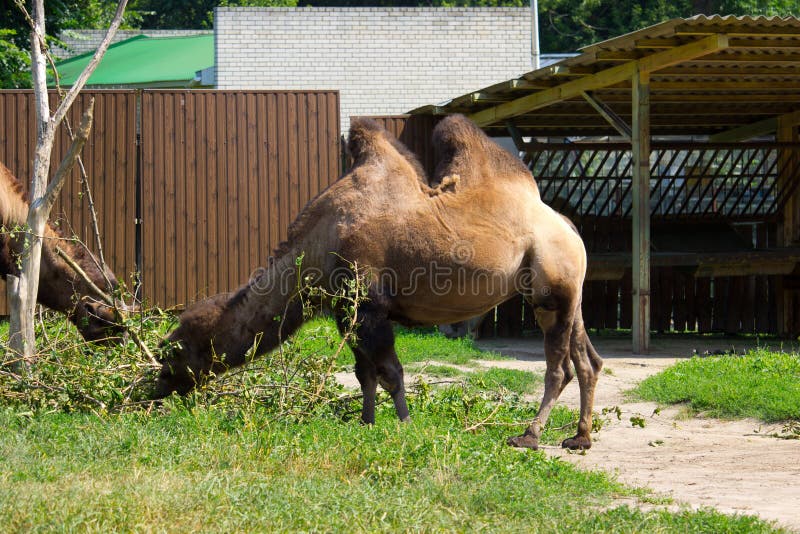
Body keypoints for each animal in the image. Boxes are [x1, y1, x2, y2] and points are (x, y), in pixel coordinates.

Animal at [157, 115, 602, 450]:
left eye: (175, 354)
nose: (152, 391)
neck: (317, 245)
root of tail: (567, 226)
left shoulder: (369, 303)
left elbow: (389, 371)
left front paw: (404, 425)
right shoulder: (347, 310)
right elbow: (364, 372)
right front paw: (366, 422)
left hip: (550, 286)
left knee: (558, 367)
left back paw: (529, 435)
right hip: (569, 293)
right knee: (587, 360)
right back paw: (579, 438)